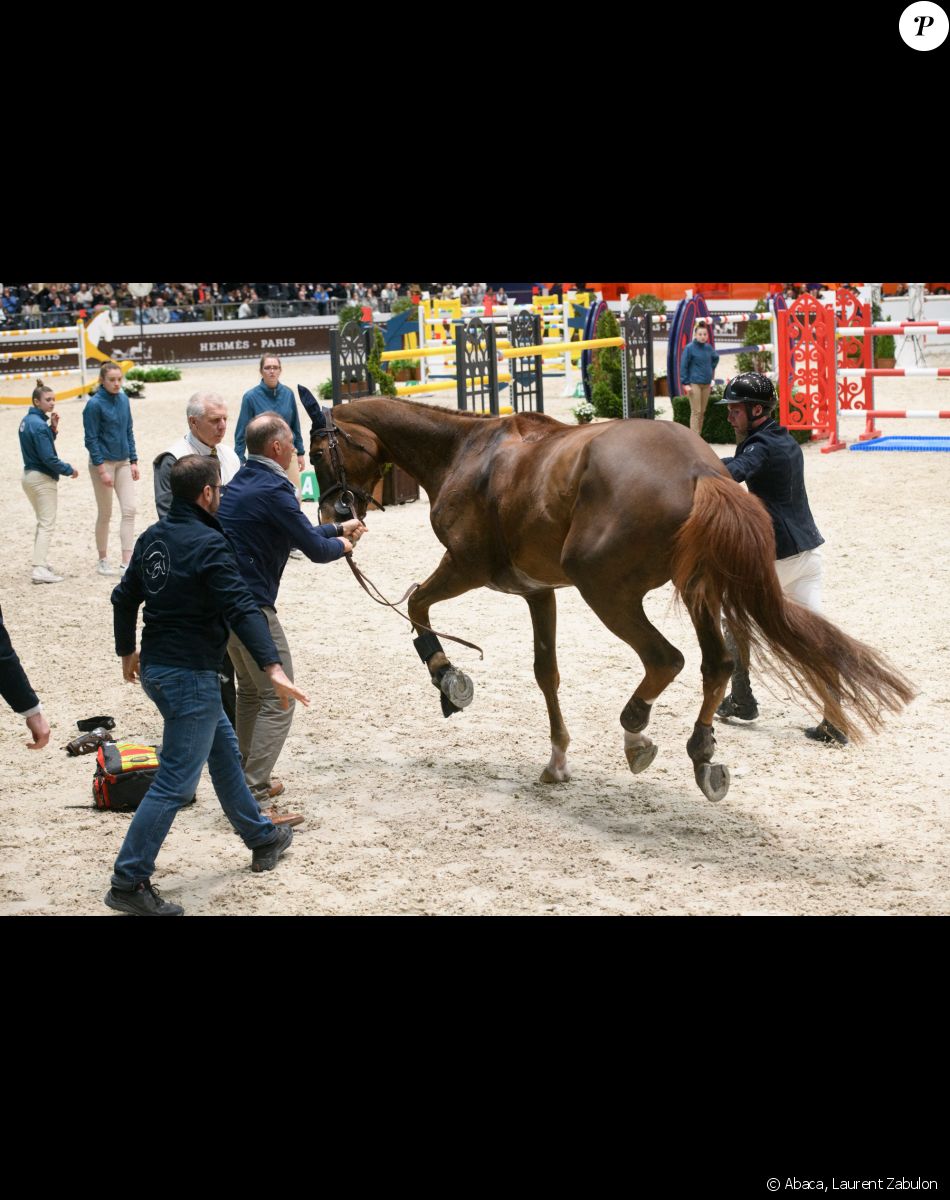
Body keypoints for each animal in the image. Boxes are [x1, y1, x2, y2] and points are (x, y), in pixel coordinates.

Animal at [302, 392, 914, 803]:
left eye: (317, 452)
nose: (332, 514)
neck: (465, 451)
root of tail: (700, 468)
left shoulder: (465, 567)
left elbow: (415, 606)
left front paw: (449, 680)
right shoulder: (538, 592)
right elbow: (546, 672)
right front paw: (556, 760)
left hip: (605, 589)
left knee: (666, 659)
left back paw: (637, 732)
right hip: (694, 587)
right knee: (716, 663)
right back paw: (702, 753)